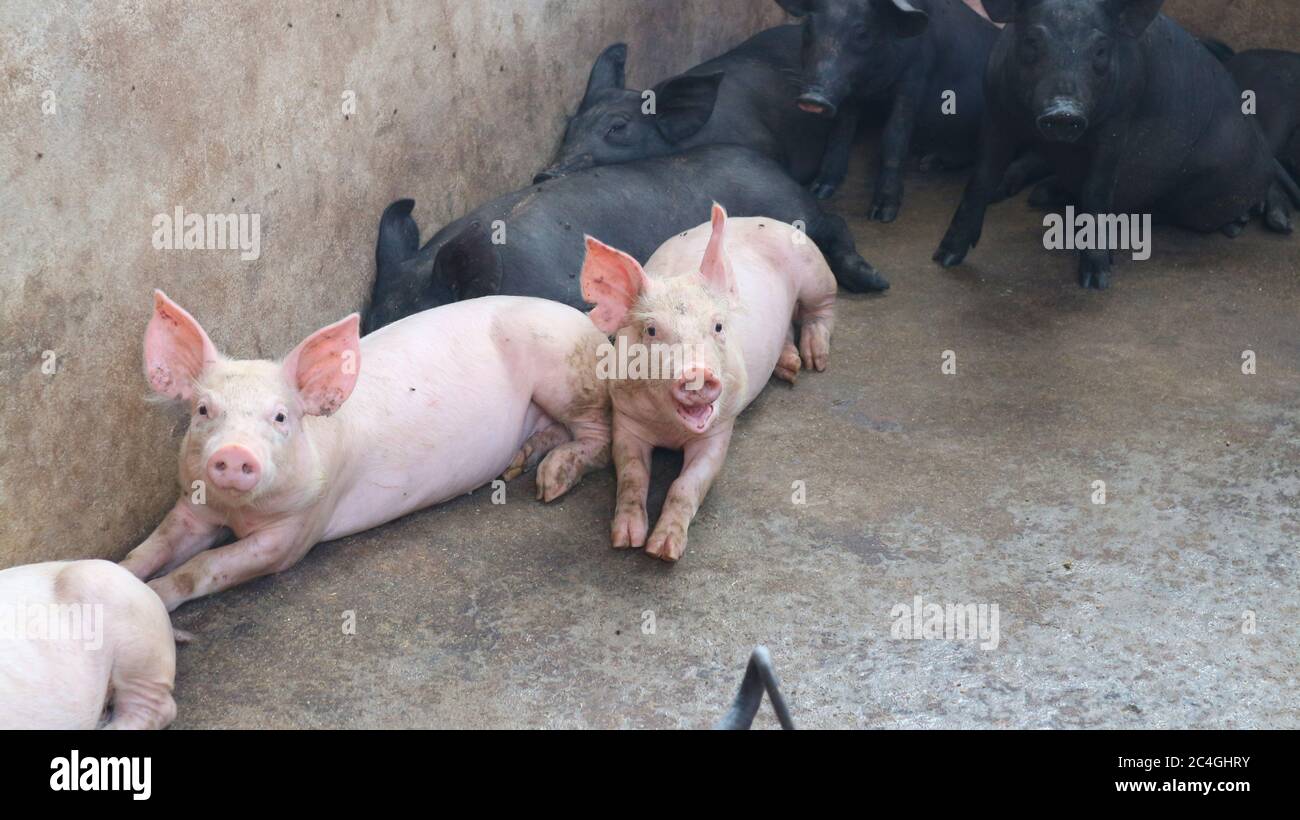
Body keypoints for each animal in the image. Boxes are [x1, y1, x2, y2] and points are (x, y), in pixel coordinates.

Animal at [121, 291, 610, 612]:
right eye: (204, 410)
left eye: (280, 417)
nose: (236, 453)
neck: (239, 512)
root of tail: (586, 321)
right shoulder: (193, 502)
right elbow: (153, 547)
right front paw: (122, 579)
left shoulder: (296, 531)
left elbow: (205, 566)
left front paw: (155, 597)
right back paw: (518, 464)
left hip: (567, 369)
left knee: (600, 436)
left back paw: (550, 484)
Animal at [580, 203, 835, 561]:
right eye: (651, 330)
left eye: (717, 326)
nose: (697, 373)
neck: (671, 430)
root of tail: (762, 219)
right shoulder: (626, 420)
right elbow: (632, 476)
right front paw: (626, 540)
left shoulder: (719, 430)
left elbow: (685, 485)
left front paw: (663, 552)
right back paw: (791, 366)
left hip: (816, 272)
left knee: (821, 310)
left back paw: (815, 360)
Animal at [778, 0, 1004, 221]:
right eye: (809, 27)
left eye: (862, 33)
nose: (813, 98)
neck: (874, 84)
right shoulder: (850, 90)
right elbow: (841, 131)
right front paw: (820, 191)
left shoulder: (914, 77)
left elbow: (895, 138)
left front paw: (882, 214)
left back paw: (929, 164)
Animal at [934, 0, 1300, 289]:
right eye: (1032, 40)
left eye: (1100, 49)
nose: (1064, 111)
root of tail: (1265, 153)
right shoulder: (996, 110)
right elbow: (981, 179)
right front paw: (944, 258)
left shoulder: (1117, 124)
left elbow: (1098, 189)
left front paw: (1096, 281)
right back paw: (1041, 197)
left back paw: (1254, 225)